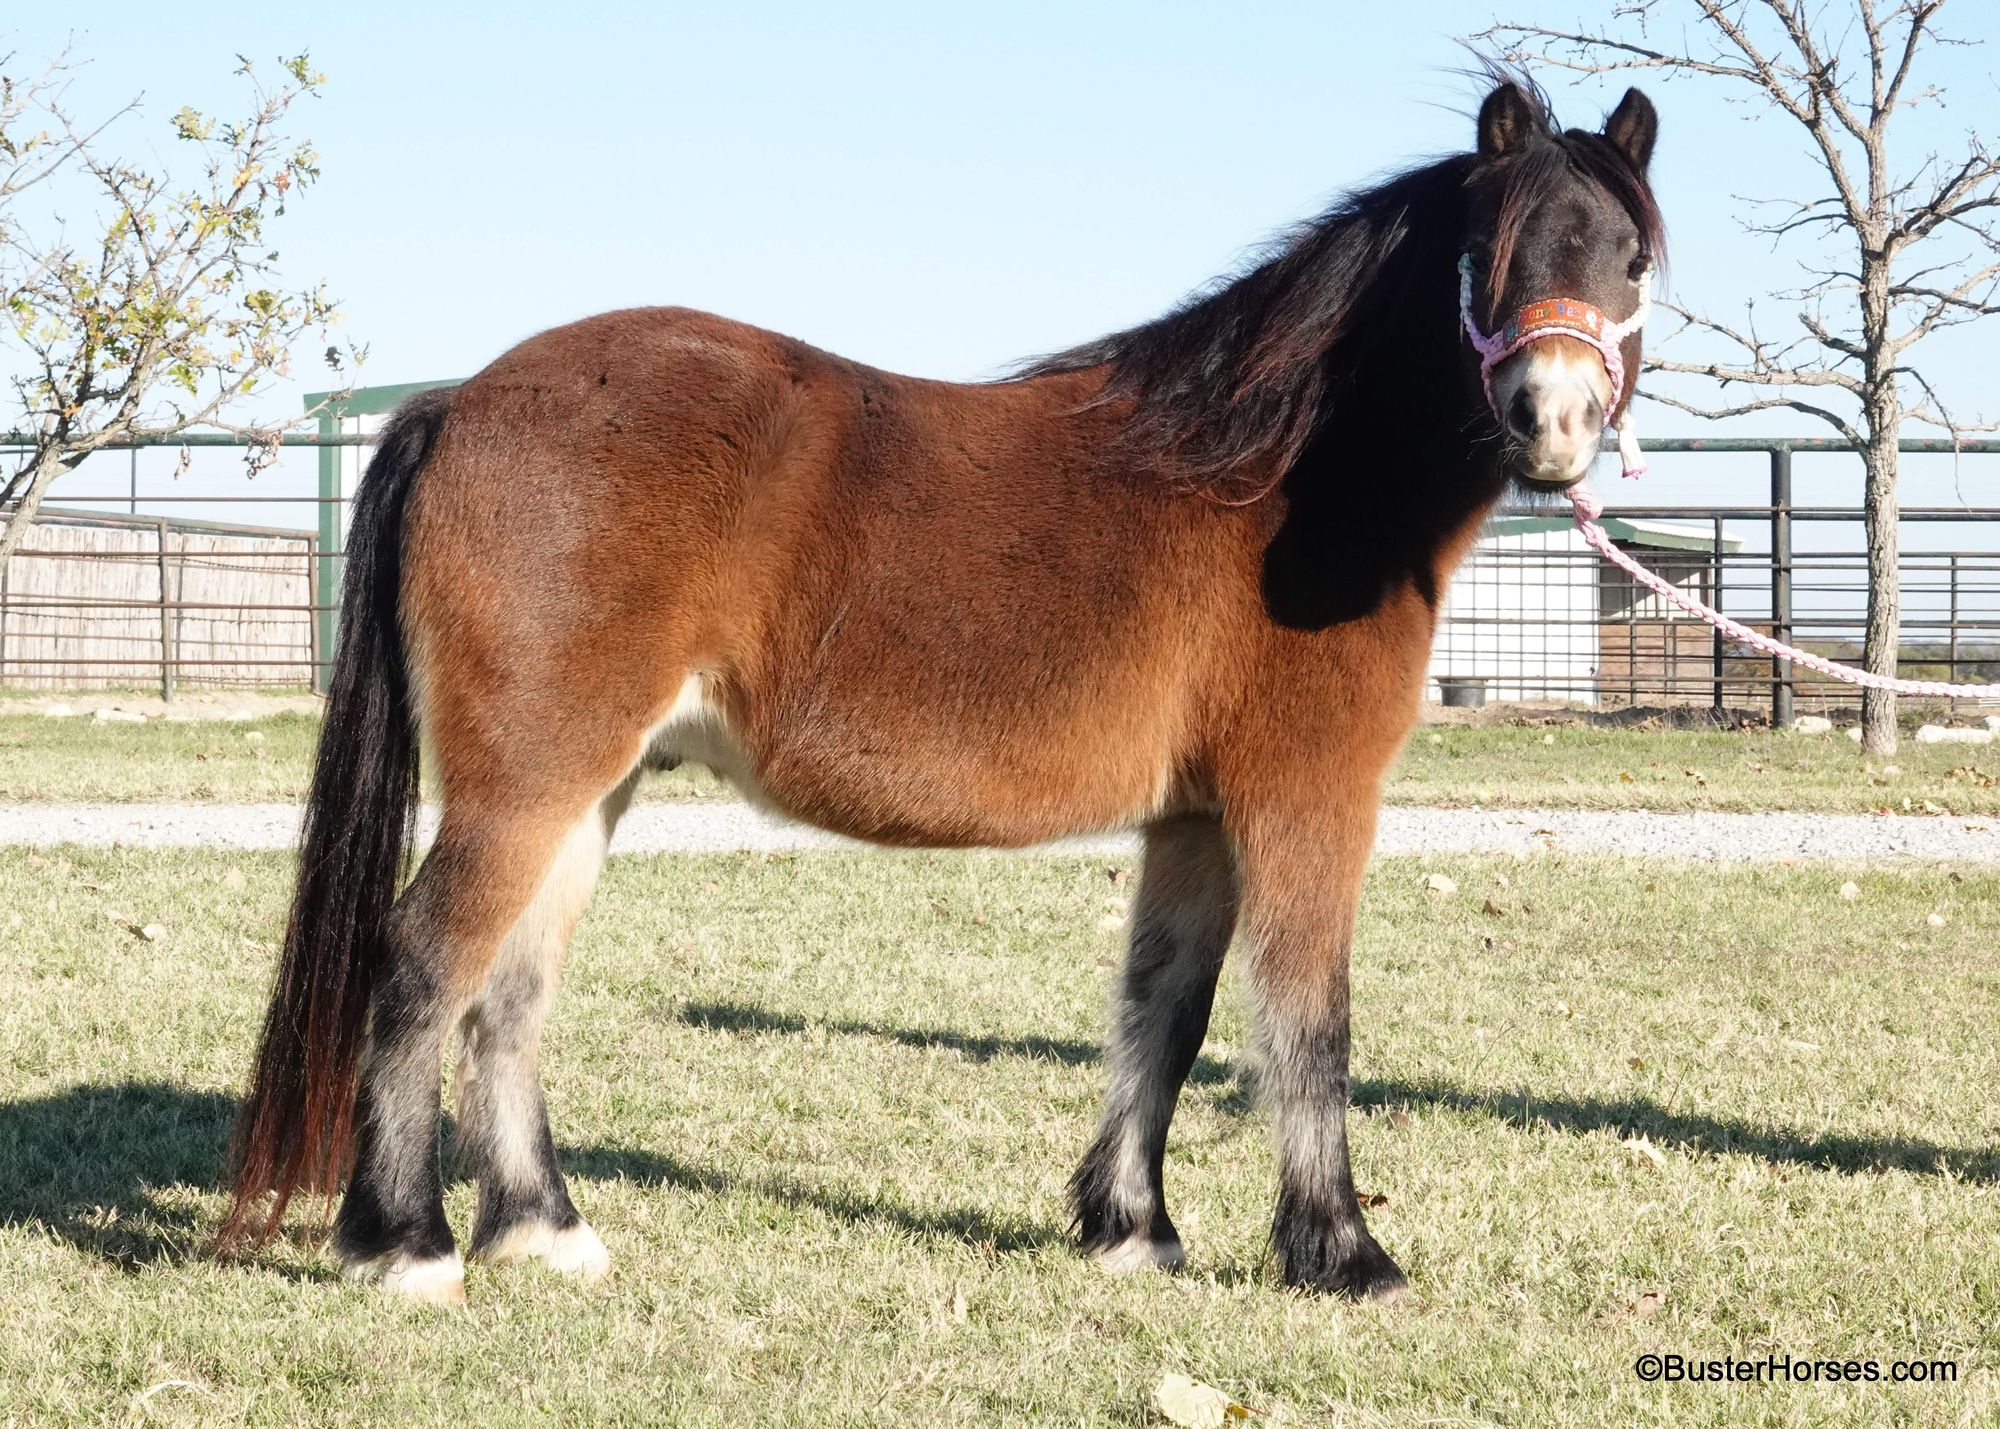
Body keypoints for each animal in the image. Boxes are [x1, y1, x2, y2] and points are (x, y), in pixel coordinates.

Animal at [221, 76, 1663, 1305]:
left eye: (1632, 256)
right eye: (1487, 251)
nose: (1550, 419)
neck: (1280, 483)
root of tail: (460, 402)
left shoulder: (1193, 819)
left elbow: (1166, 1010)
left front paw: (1131, 1229)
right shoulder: (1306, 801)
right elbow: (1309, 1024)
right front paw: (1345, 1253)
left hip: (589, 788)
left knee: (509, 996)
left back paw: (543, 1228)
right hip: (526, 786)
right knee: (423, 965)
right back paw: (405, 1244)